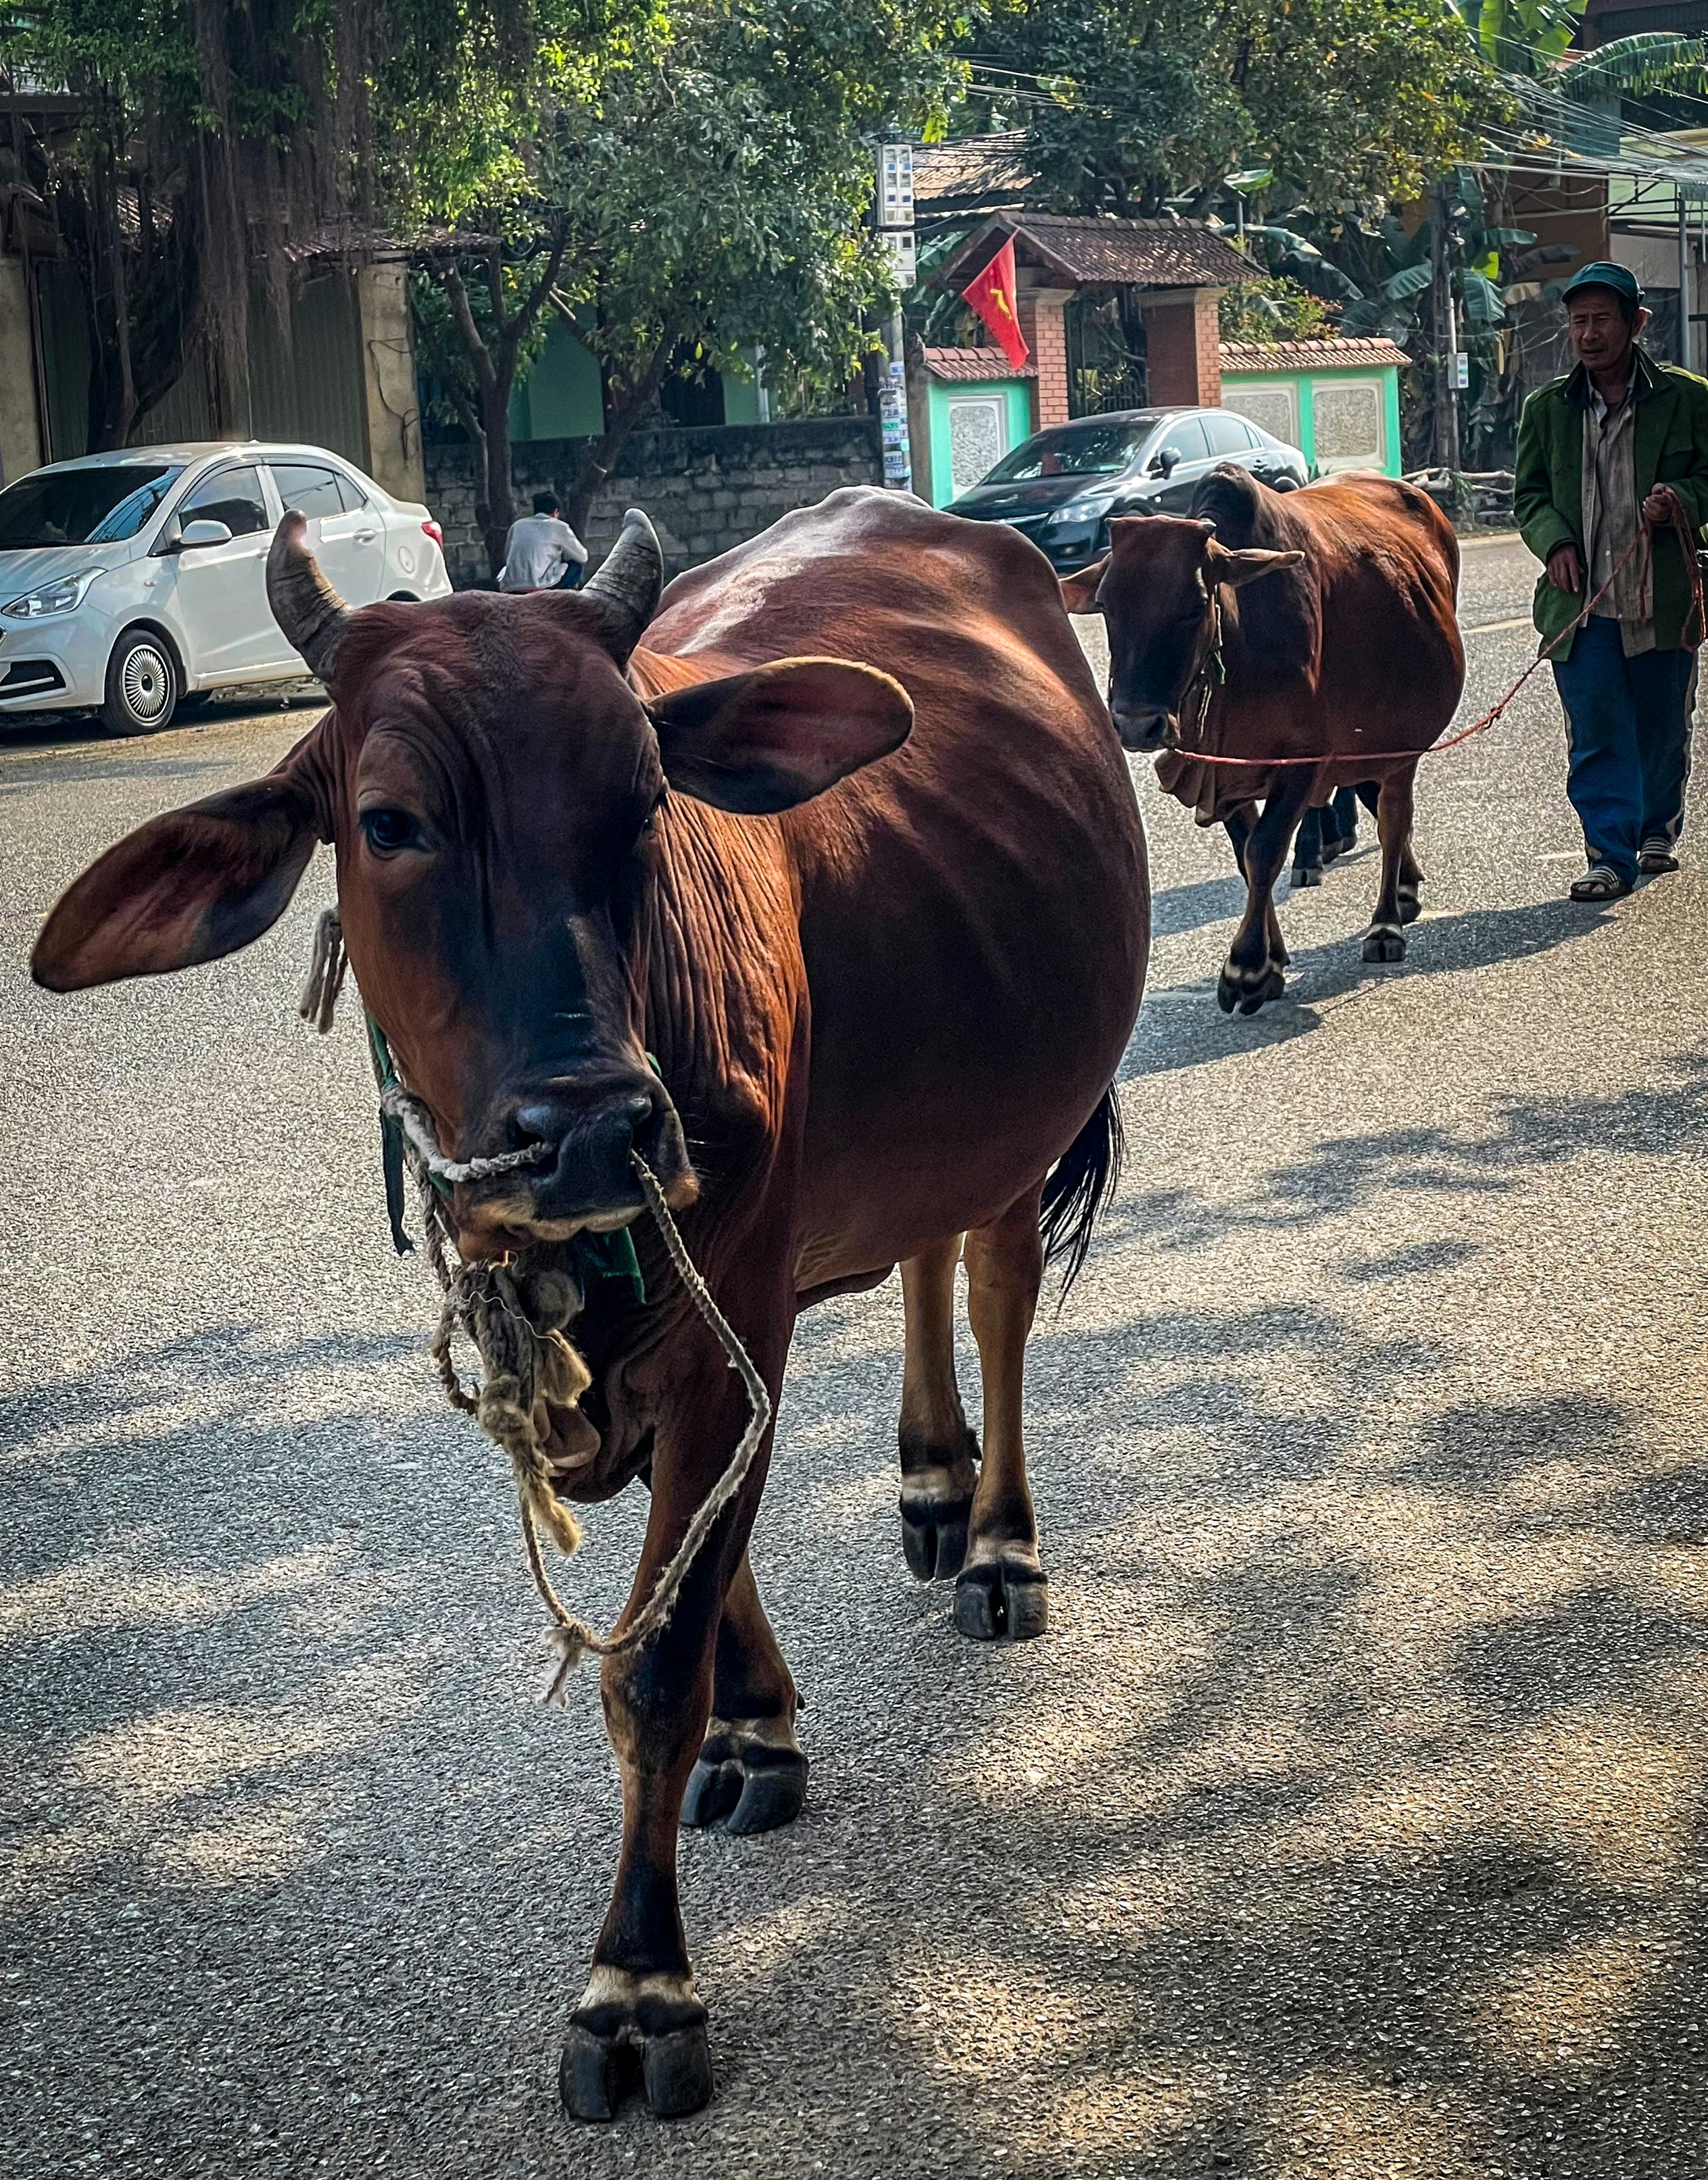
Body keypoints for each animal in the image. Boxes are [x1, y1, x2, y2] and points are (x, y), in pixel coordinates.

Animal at [29, 487, 1149, 2122]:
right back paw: (930, 1482)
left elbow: (654, 1661)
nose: (593, 1132)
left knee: (993, 1281)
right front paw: (760, 1725)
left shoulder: (733, 1328)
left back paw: (998, 1539)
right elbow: (687, 1581)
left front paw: (637, 1985)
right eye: (389, 822)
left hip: (1025, 1108)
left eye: (642, 806)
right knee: (922, 1253)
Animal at [1063, 466, 1464, 1014]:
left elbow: (1265, 851)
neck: (1240, 645)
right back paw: (1404, 888)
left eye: (1194, 606)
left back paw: (1386, 922)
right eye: (1106, 605)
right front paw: (1272, 958)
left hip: (1403, 743)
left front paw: (1247, 968)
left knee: (1393, 817)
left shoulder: (1303, 763)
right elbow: (1247, 859)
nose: (1135, 725)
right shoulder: (1226, 771)